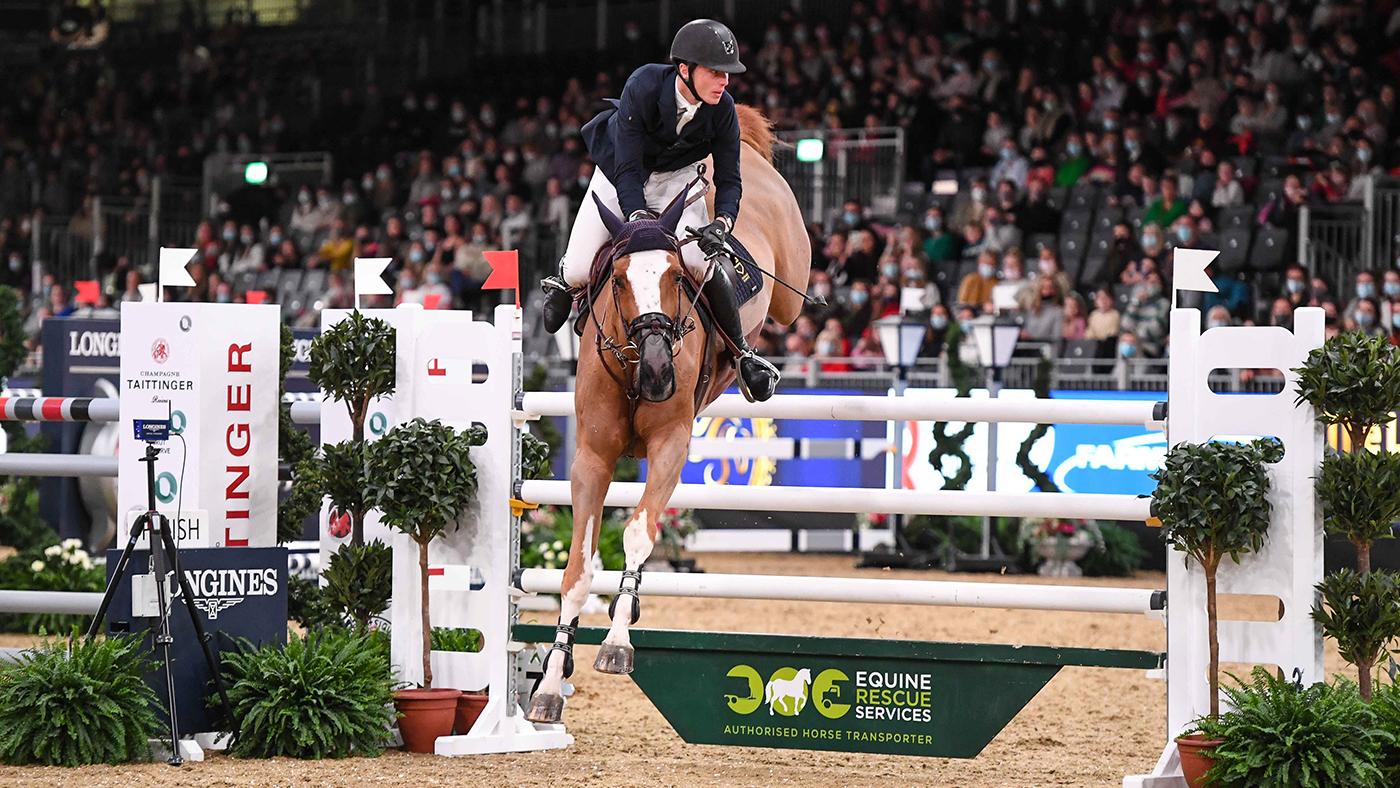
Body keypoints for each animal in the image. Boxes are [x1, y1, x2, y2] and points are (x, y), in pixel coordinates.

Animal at [525, 105, 811, 724]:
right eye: (617, 280)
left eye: (678, 277)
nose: (659, 374)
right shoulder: (592, 457)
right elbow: (578, 568)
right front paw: (550, 684)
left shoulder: (671, 447)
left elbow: (637, 533)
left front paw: (615, 644)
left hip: (790, 288)